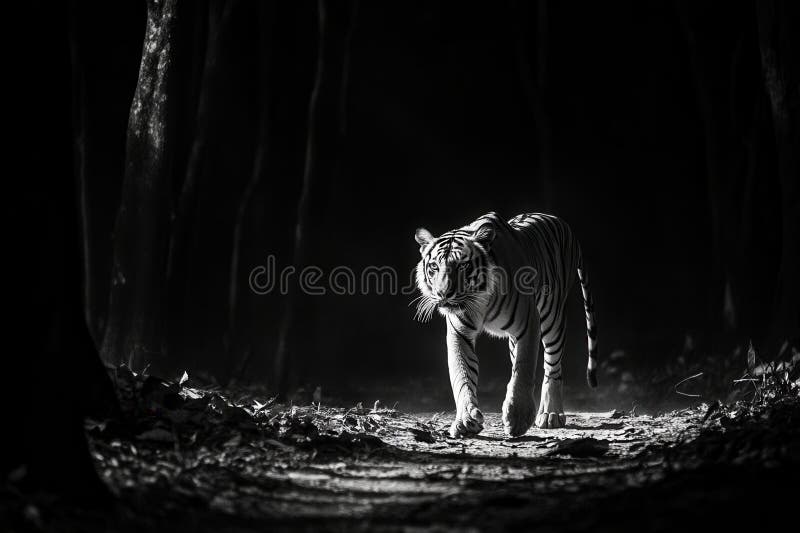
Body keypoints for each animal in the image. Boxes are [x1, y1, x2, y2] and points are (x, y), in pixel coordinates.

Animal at [413, 212, 597, 437]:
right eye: (434, 267)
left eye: (463, 266)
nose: (443, 294)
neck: (481, 299)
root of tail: (563, 224)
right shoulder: (459, 334)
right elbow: (462, 375)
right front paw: (466, 420)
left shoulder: (529, 323)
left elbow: (524, 369)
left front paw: (518, 417)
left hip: (552, 317)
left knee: (552, 367)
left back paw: (551, 414)